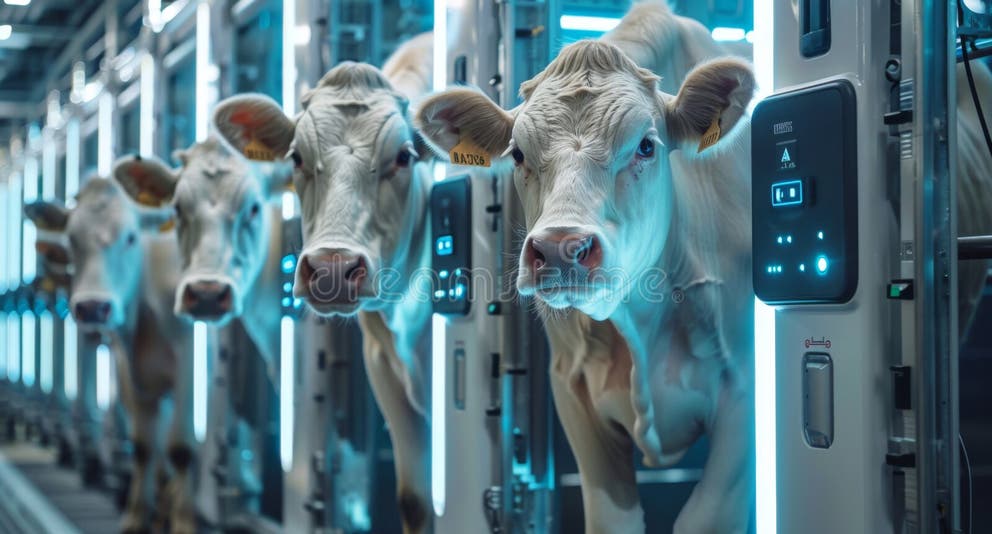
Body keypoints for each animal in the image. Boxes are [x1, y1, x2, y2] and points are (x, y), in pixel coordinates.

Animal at [25, 178, 196, 534]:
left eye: (131, 237)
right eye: (71, 240)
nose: (92, 307)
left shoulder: (190, 361)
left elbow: (181, 447)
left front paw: (184, 521)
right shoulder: (128, 368)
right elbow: (143, 446)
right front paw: (137, 517)